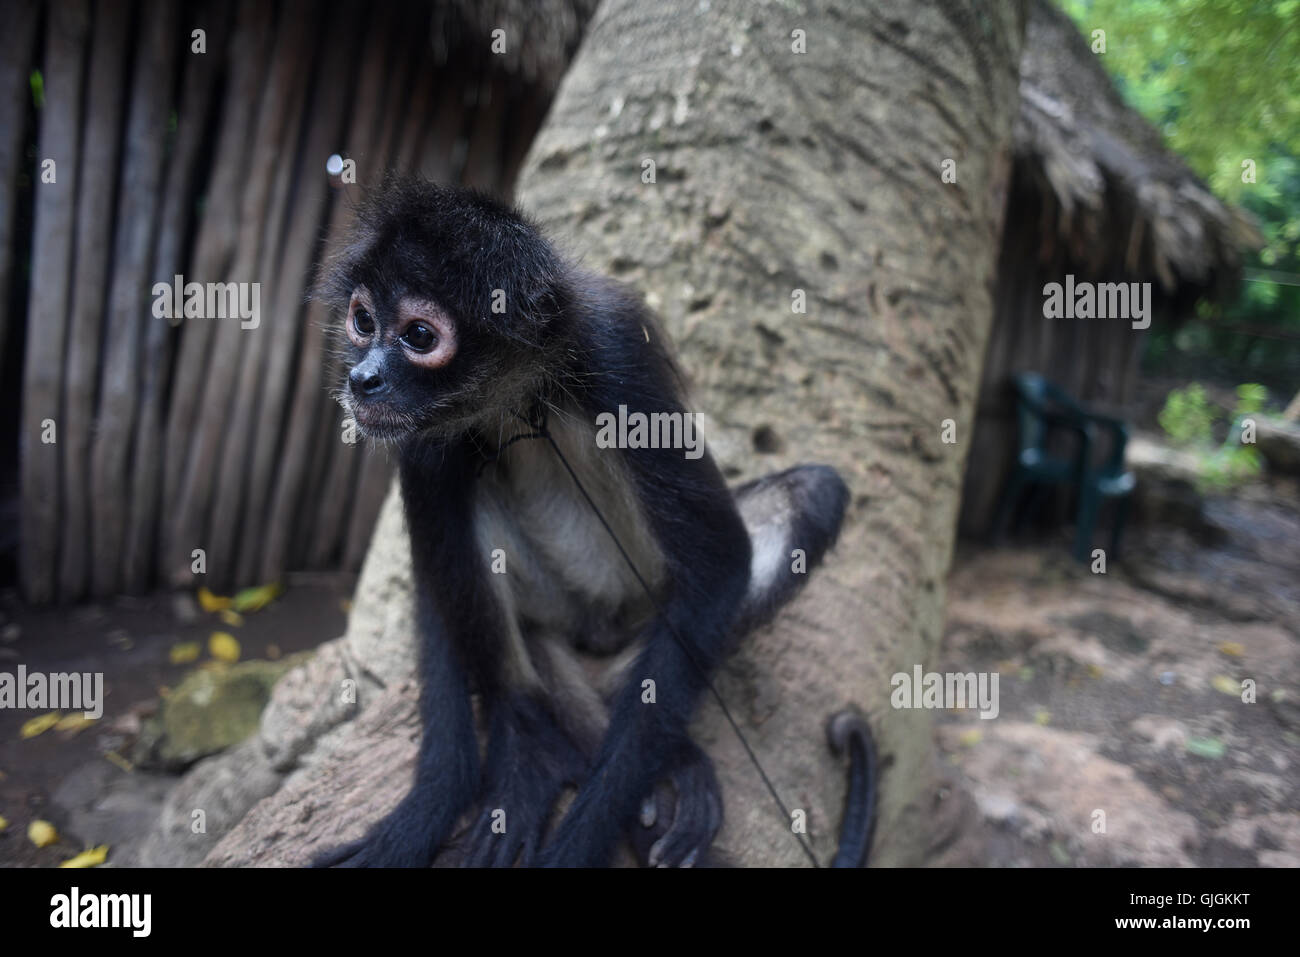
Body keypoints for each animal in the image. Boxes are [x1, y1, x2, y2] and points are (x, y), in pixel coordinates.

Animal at [311, 177, 876, 868]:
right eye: (364, 321)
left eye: (419, 335)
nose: (362, 376)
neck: (520, 391)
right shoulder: (418, 418)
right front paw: (481, 780)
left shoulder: (616, 356)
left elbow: (720, 562)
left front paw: (580, 841)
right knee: (450, 467)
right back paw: (533, 751)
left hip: (639, 601)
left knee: (811, 495)